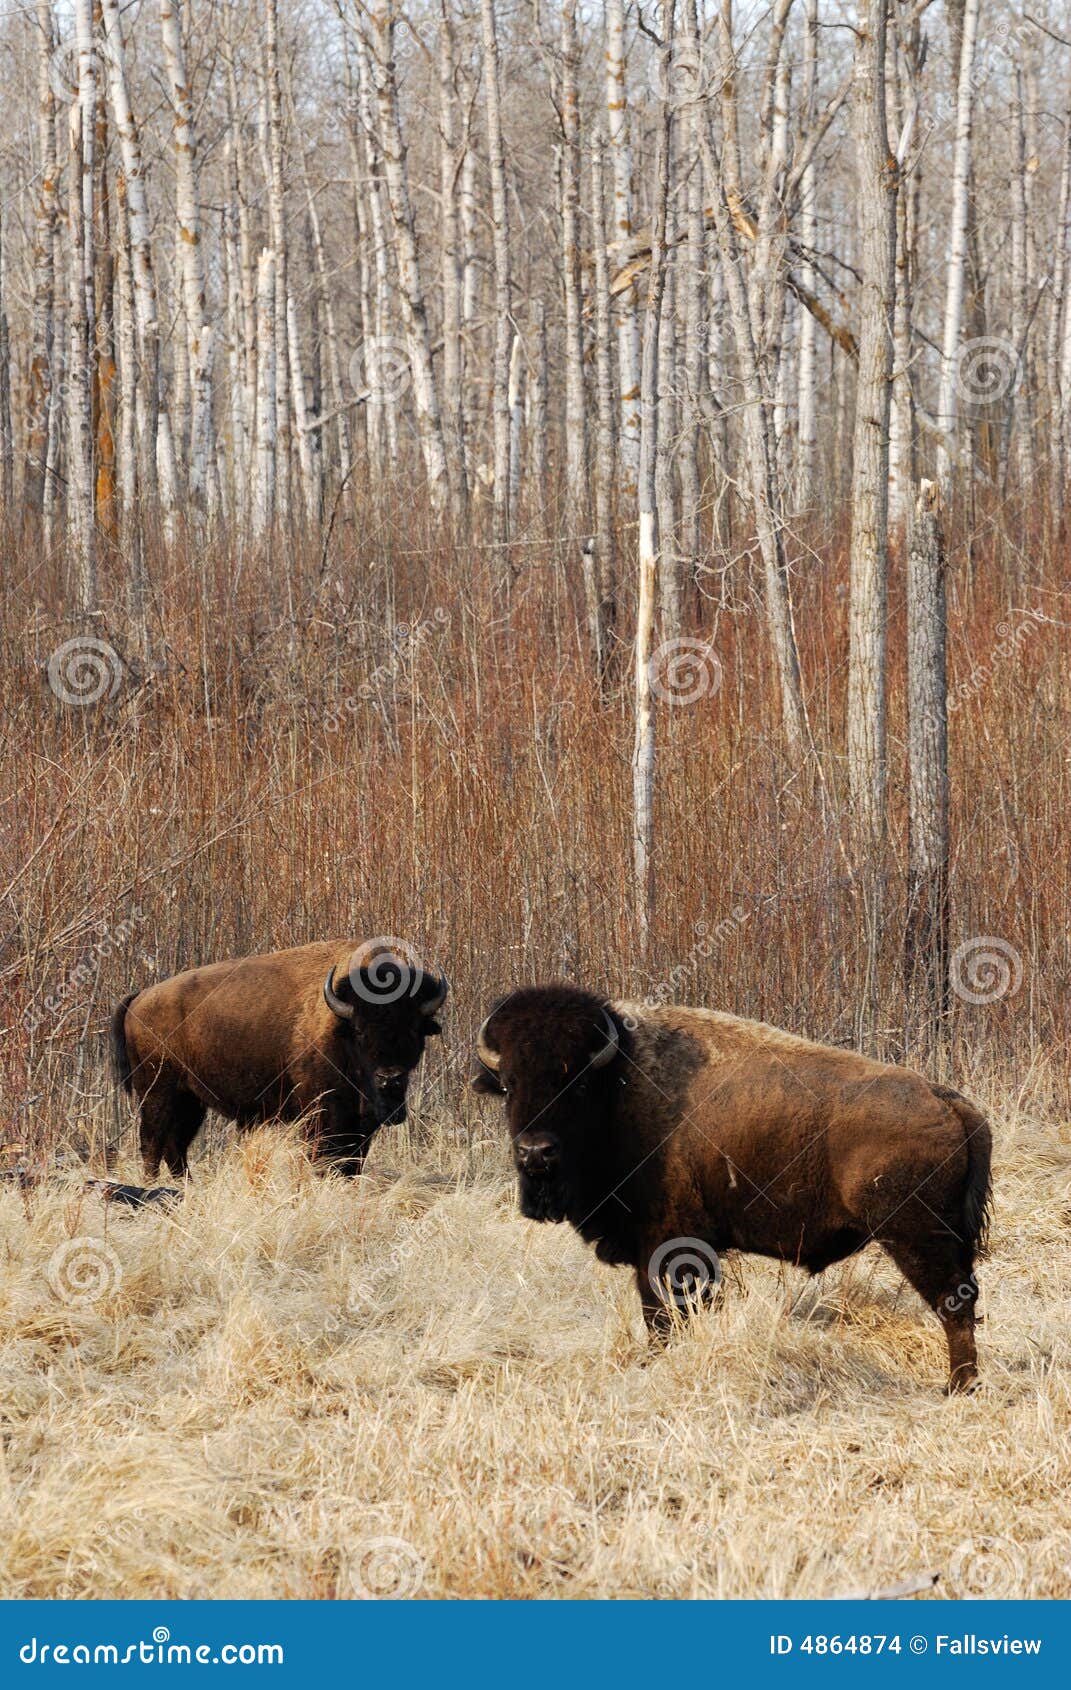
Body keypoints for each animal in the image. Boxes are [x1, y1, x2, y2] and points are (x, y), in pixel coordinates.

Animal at [112, 940, 447, 1179]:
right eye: (360, 1031)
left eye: (414, 1029)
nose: (390, 1078)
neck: (339, 1026)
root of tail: (140, 998)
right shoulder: (322, 1113)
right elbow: (324, 1157)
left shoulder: (361, 1124)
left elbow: (352, 1162)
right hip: (157, 1093)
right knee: (152, 1144)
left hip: (190, 1100)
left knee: (175, 1147)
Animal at [472, 984, 992, 1393]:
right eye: (509, 1085)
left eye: (576, 1085)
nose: (535, 1153)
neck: (619, 1086)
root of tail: (950, 1102)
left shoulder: (665, 1246)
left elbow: (664, 1315)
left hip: (916, 1238)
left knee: (955, 1303)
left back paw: (957, 1386)